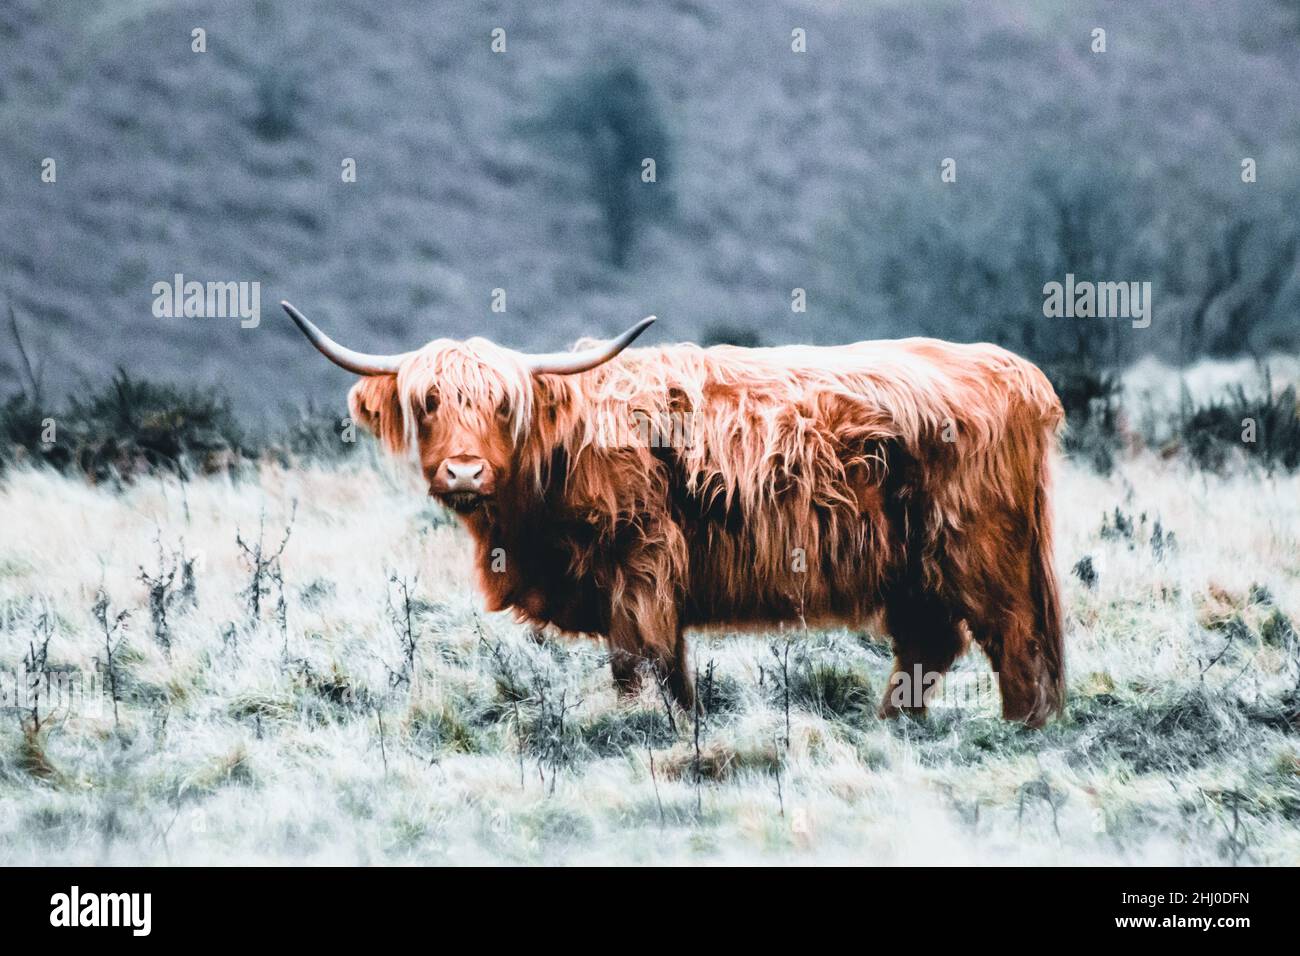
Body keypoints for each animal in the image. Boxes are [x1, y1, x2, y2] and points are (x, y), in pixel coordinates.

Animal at [283, 301, 1066, 726]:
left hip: (977, 549)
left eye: (504, 405)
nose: (466, 470)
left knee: (1015, 639)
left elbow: (639, 660)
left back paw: (1019, 731)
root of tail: (1014, 370)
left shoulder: (640, 566)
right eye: (428, 404)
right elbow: (670, 668)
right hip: (911, 568)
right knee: (926, 648)